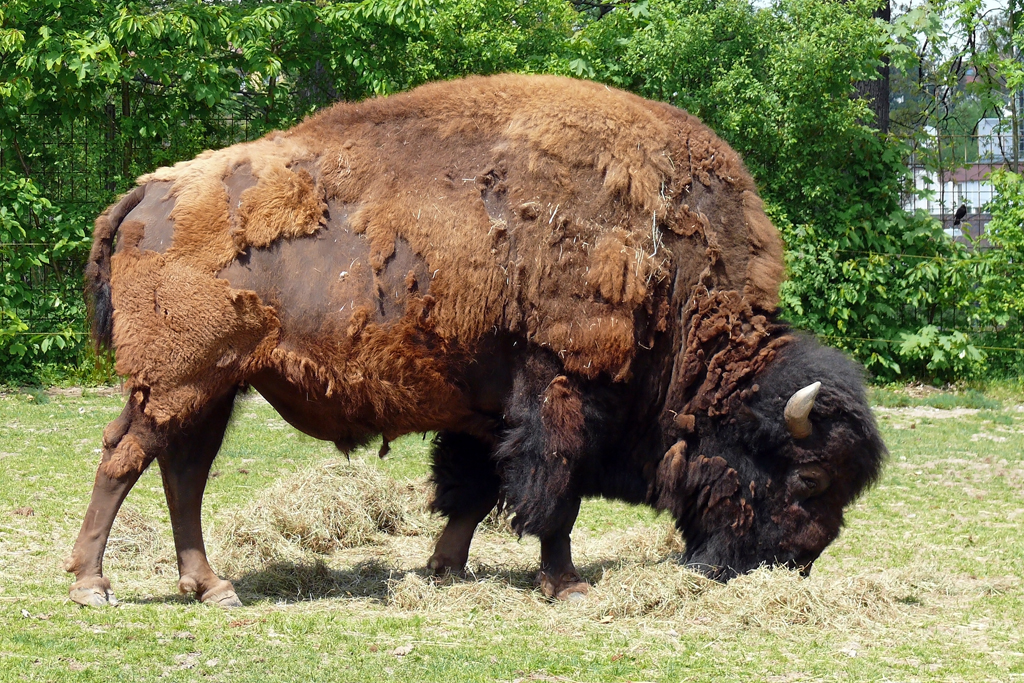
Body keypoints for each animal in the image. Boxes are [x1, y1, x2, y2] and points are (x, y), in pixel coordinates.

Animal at [66, 74, 885, 607]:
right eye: (809, 479)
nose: (795, 563)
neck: (674, 282)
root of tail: (149, 192)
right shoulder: (561, 394)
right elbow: (553, 493)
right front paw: (566, 584)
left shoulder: (485, 412)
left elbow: (473, 488)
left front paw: (444, 568)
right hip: (179, 379)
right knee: (125, 457)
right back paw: (93, 585)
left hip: (212, 386)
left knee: (181, 471)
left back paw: (210, 587)